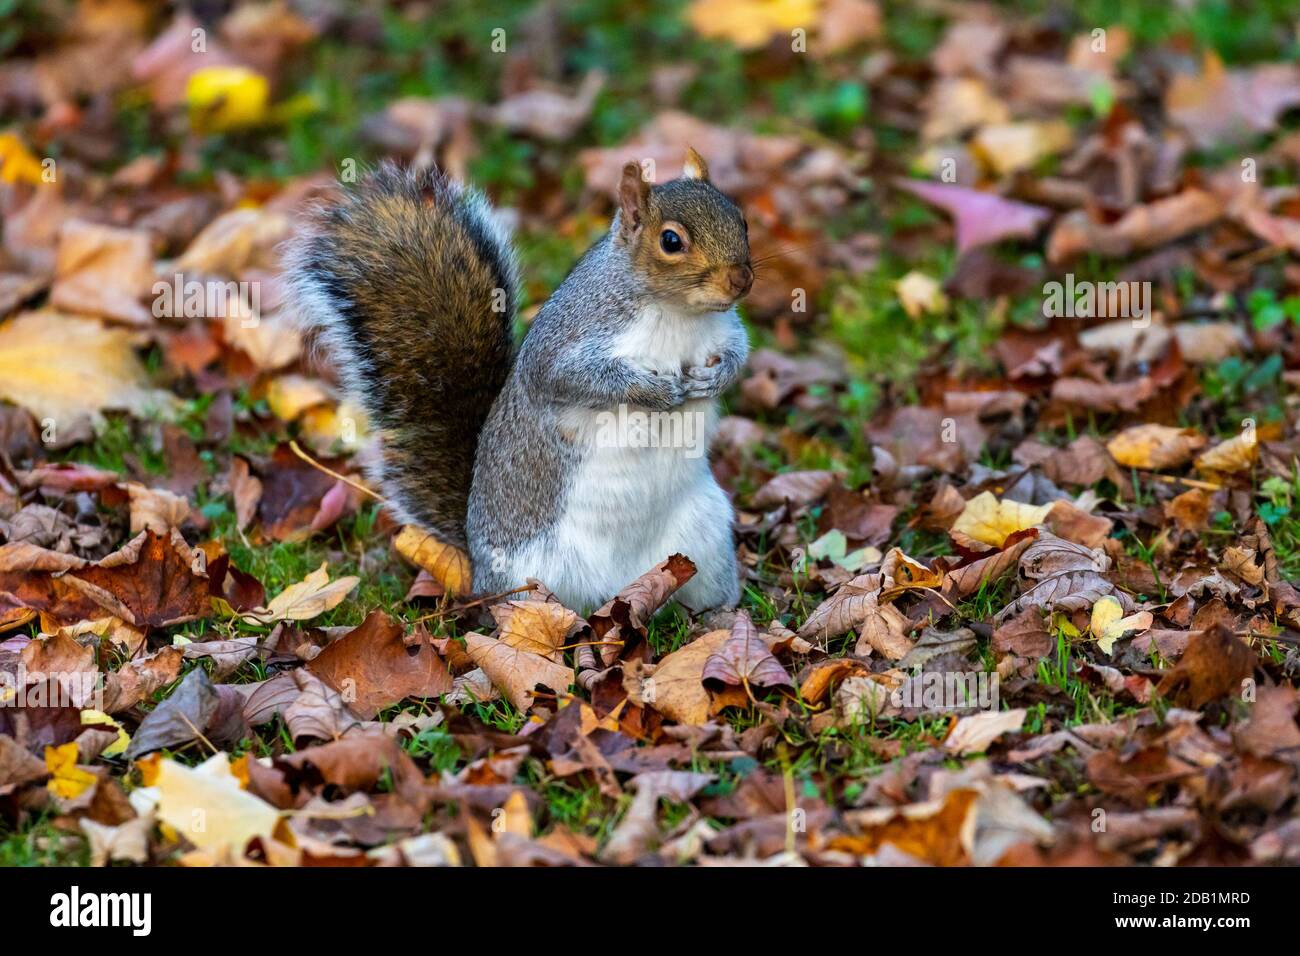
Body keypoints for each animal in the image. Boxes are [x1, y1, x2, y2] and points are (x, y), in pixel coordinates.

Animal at [286, 148, 752, 613]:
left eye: (741, 219)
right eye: (671, 241)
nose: (741, 279)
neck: (677, 314)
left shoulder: (726, 329)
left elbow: (738, 352)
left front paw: (714, 378)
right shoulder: (566, 341)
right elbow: (573, 377)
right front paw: (655, 391)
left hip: (705, 539)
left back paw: (718, 616)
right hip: (526, 574)